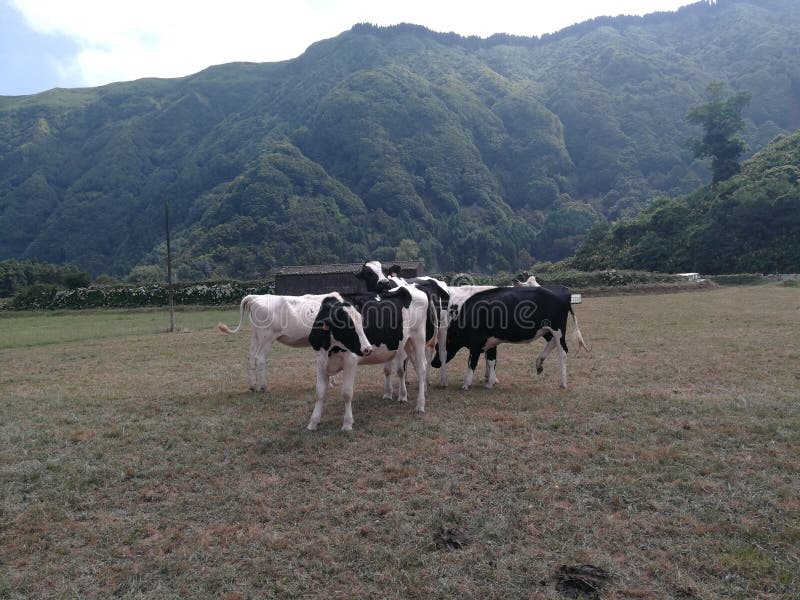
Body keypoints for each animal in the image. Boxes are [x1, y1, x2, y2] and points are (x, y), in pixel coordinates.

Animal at [217, 293, 372, 392]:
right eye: (349, 324)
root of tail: (255, 297)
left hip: (255, 337)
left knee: (250, 357)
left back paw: (253, 386)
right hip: (267, 337)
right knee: (259, 358)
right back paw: (264, 387)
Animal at [307, 284, 429, 430]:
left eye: (361, 322)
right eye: (344, 324)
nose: (367, 349)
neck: (330, 348)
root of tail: (408, 287)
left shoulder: (350, 361)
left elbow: (347, 393)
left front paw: (347, 423)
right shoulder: (320, 360)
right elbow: (319, 393)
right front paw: (313, 422)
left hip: (418, 337)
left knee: (421, 369)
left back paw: (420, 404)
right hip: (407, 343)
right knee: (415, 367)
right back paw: (405, 396)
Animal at [434, 285, 589, 390]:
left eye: (439, 347)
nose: (433, 363)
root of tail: (563, 291)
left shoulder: (476, 343)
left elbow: (472, 363)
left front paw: (467, 384)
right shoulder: (490, 342)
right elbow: (491, 360)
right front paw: (490, 383)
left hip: (558, 330)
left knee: (563, 352)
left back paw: (563, 382)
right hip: (546, 330)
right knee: (551, 343)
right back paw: (539, 362)